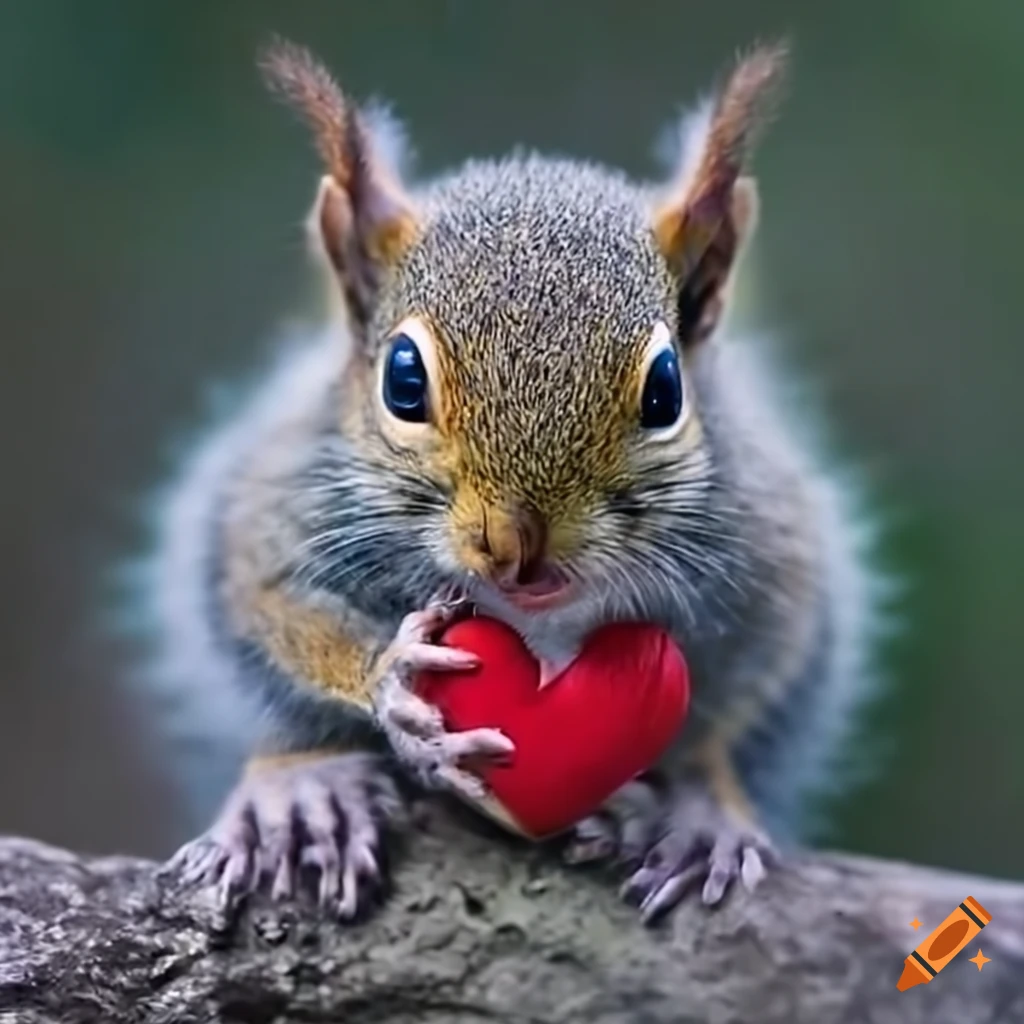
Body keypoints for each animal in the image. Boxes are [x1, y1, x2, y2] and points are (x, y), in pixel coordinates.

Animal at [133, 36, 888, 924]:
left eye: (665, 390)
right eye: (402, 380)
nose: (518, 543)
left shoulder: (774, 565)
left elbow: (742, 697)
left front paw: (698, 805)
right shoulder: (274, 514)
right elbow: (273, 605)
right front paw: (393, 683)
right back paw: (301, 792)